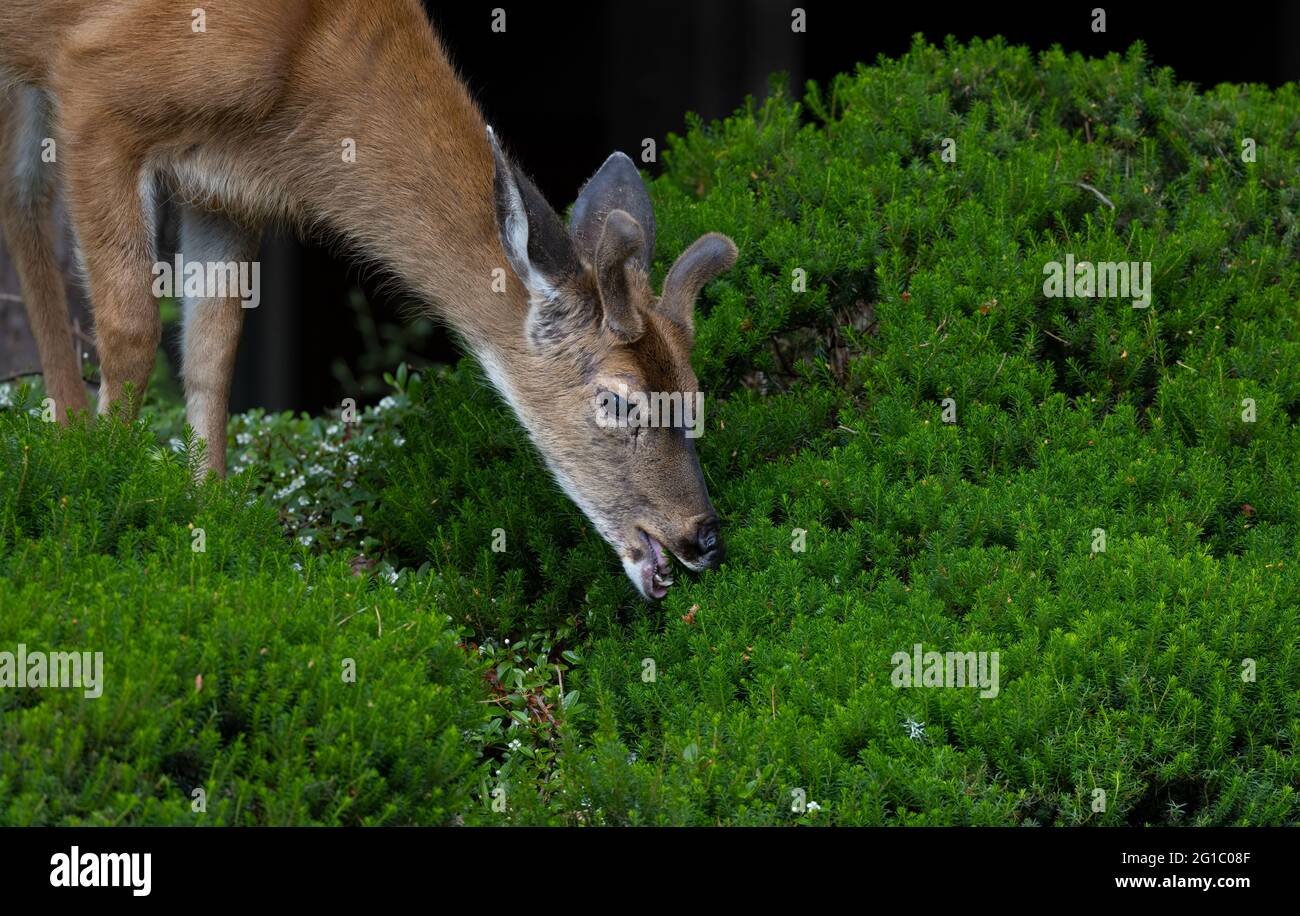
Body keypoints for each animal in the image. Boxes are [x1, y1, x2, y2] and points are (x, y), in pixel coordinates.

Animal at [0, 0, 738, 600]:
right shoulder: (94, 83)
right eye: (617, 400)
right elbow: (132, 327)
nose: (703, 536)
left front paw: (207, 522)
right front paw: (104, 493)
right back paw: (66, 442)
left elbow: (213, 351)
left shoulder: (225, 187)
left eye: (693, 391)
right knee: (28, 207)